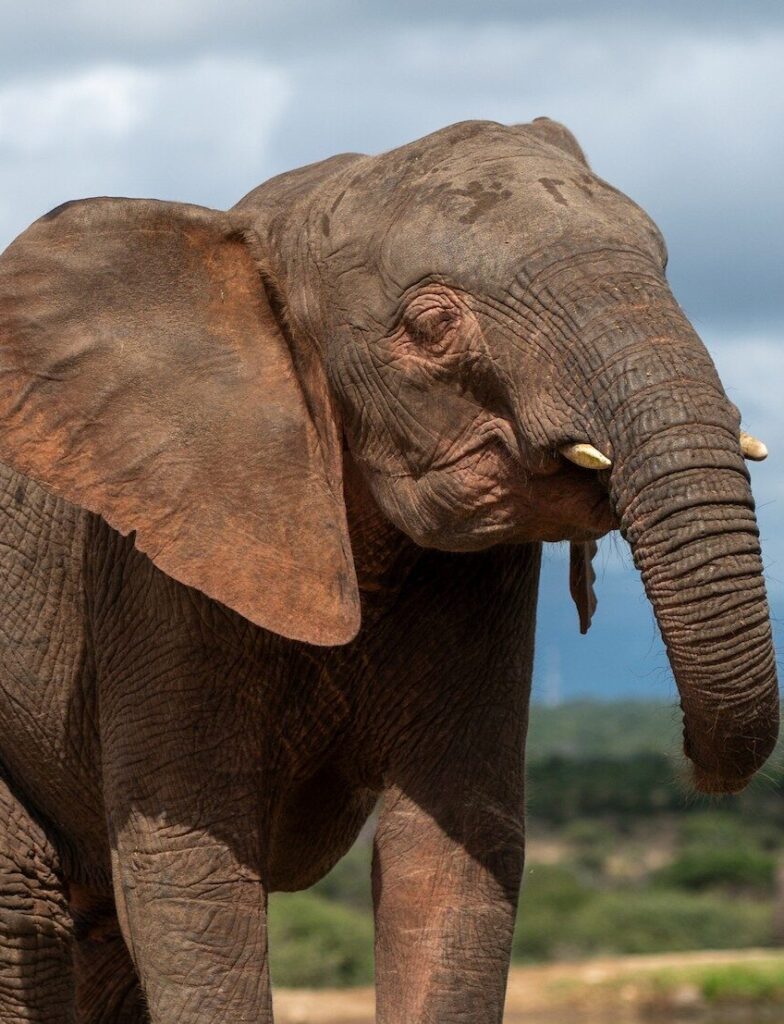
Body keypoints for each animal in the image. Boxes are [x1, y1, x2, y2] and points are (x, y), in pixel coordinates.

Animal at [0, 116, 777, 1023]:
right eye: (433, 324)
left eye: (666, 267)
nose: (685, 748)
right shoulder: (156, 555)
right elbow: (188, 873)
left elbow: (449, 857)